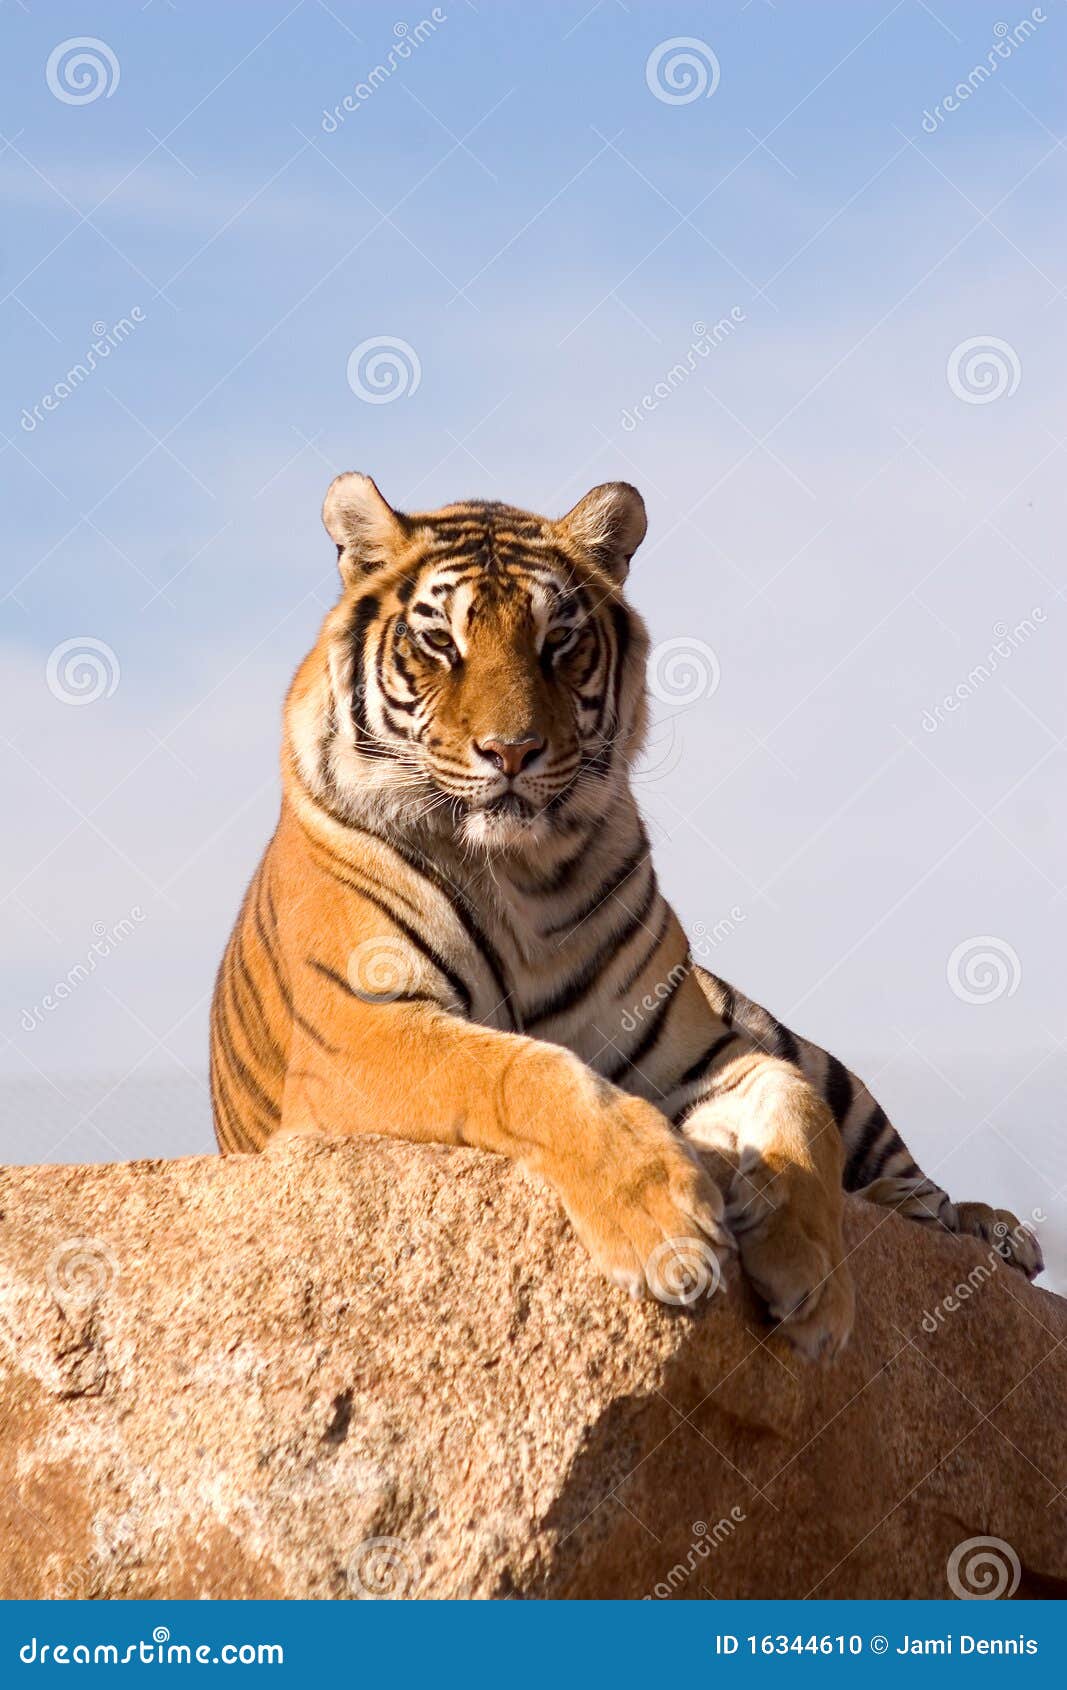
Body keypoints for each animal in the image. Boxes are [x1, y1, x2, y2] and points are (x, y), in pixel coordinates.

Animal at [209, 473, 1042, 1360]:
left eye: (557, 640)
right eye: (439, 642)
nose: (511, 751)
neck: (516, 876)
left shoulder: (689, 1048)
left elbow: (797, 1105)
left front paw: (814, 1280)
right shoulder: (361, 1030)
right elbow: (518, 1068)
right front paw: (665, 1226)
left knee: (891, 1156)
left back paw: (981, 1226)